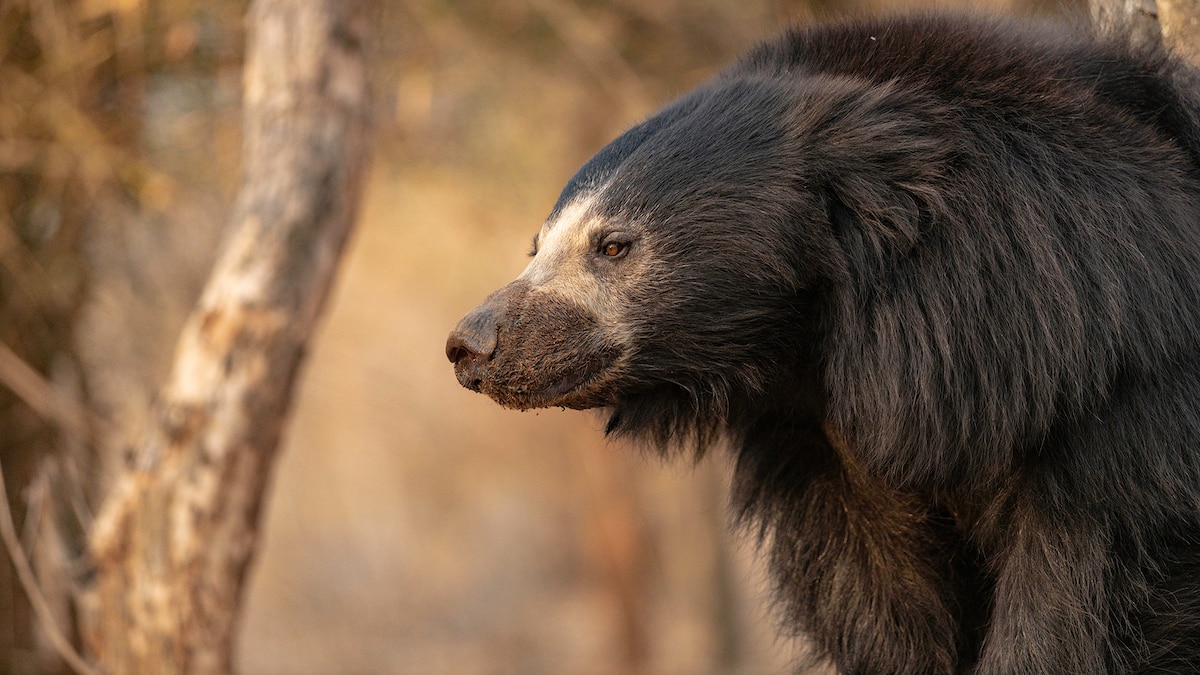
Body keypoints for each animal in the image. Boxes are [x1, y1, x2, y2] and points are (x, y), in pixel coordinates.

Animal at [445, 12, 1200, 674]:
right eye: (537, 246)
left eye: (613, 245)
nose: (471, 345)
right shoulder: (828, 453)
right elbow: (886, 607)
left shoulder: (1119, 410)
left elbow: (1090, 595)